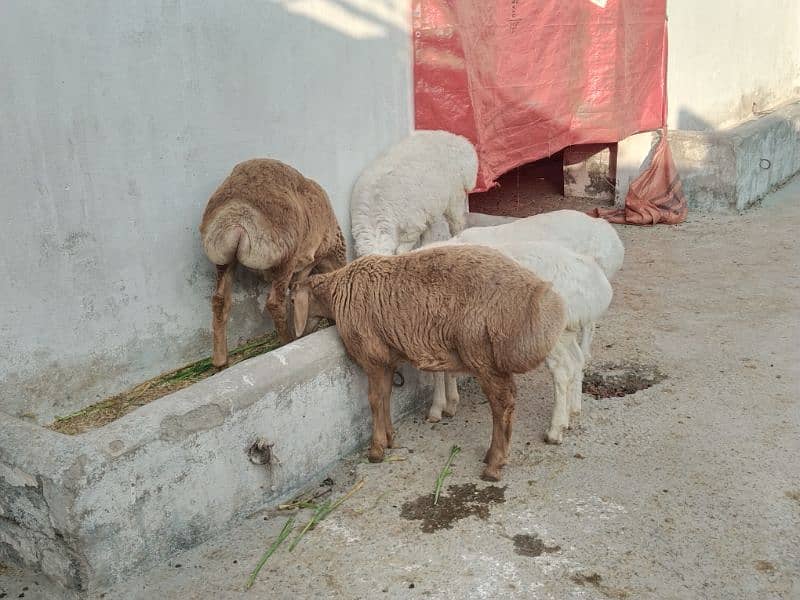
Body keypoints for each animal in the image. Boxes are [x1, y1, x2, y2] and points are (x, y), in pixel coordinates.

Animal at [200, 158, 346, 367]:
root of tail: (237, 220)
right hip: (286, 257)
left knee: (220, 301)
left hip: (223, 258)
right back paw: (287, 342)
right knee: (275, 303)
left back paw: (221, 362)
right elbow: (296, 293)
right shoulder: (307, 260)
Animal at [289, 245, 567, 481]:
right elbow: (386, 396)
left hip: (482, 354)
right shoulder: (388, 359)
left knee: (503, 404)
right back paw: (491, 456)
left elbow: (375, 400)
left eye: (292, 300)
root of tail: (543, 301)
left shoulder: (373, 356)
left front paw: (376, 449)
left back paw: (494, 464)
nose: (292, 335)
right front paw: (390, 438)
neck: (338, 291)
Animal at [424, 240, 613, 444]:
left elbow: (438, 369)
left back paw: (555, 431)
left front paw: (438, 408)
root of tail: (596, 284)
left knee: (562, 370)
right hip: (566, 331)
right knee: (577, 360)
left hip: (548, 333)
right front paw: (449, 402)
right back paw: (571, 412)